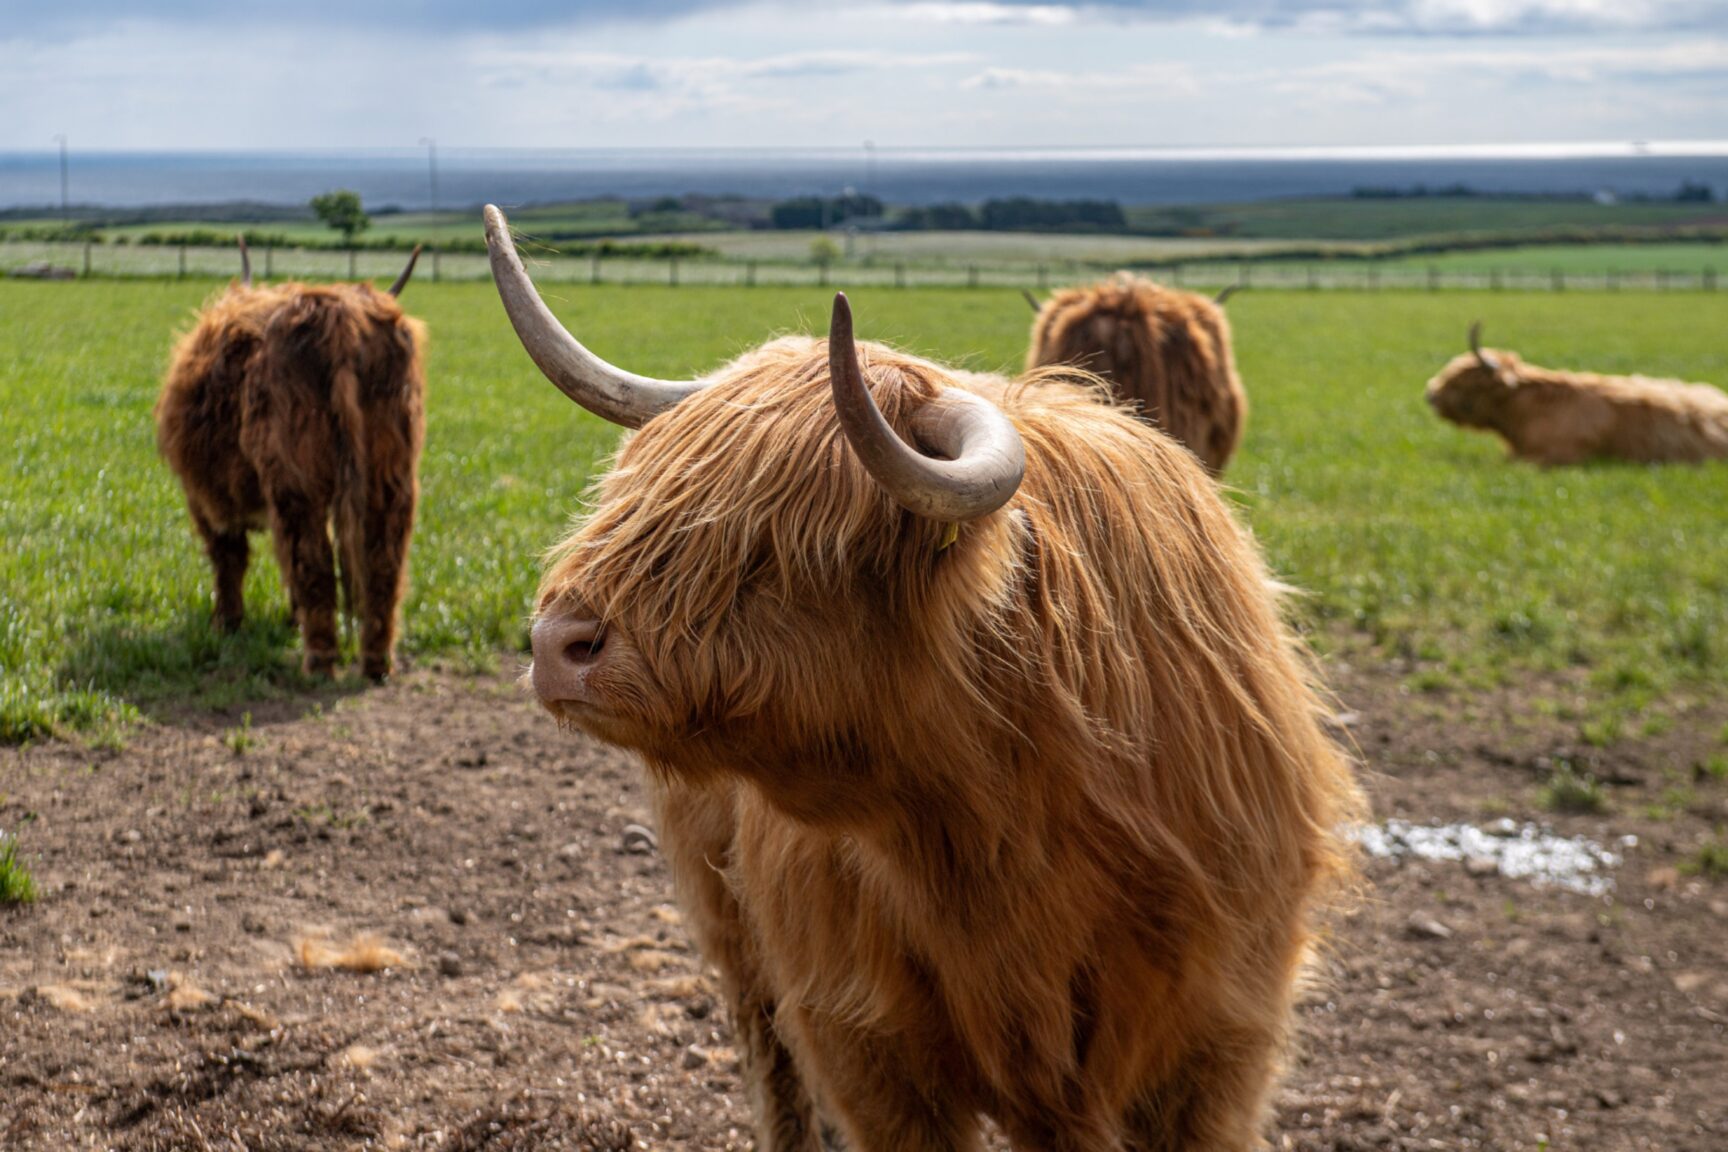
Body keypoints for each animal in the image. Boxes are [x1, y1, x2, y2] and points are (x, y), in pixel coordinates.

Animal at [155, 242, 427, 679]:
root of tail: (340, 318)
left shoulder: (203, 498)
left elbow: (228, 557)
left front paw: (227, 624)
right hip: (391, 471)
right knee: (384, 558)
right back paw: (376, 662)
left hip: (294, 477)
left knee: (311, 555)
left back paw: (318, 659)